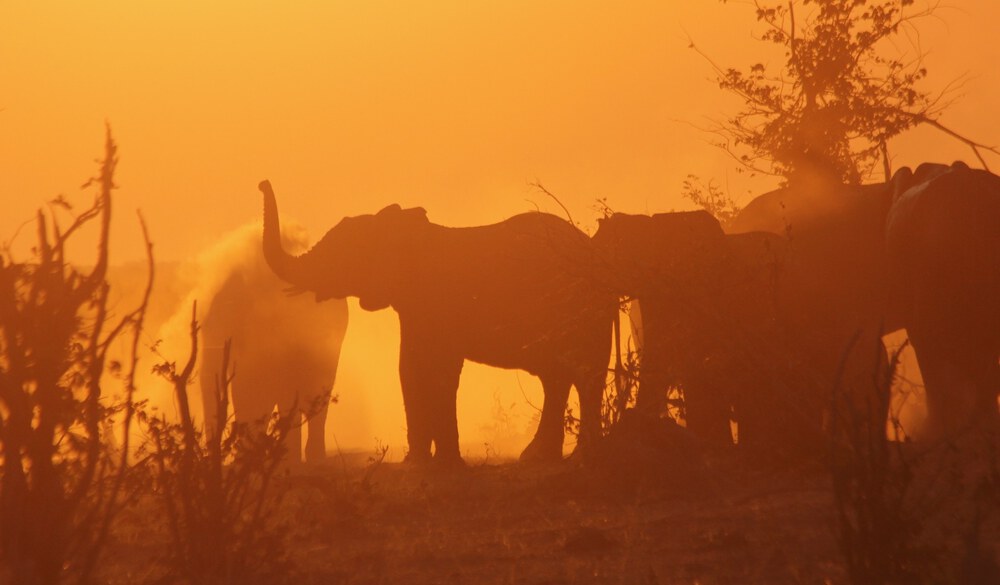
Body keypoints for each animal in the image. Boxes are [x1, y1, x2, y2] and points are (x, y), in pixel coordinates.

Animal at [257, 180, 617, 465]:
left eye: (340, 253)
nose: (262, 183)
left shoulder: (438, 305)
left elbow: (440, 369)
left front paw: (445, 464)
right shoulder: (414, 309)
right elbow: (408, 368)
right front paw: (416, 462)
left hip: (584, 309)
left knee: (584, 375)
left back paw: (583, 458)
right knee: (556, 378)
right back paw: (539, 457)